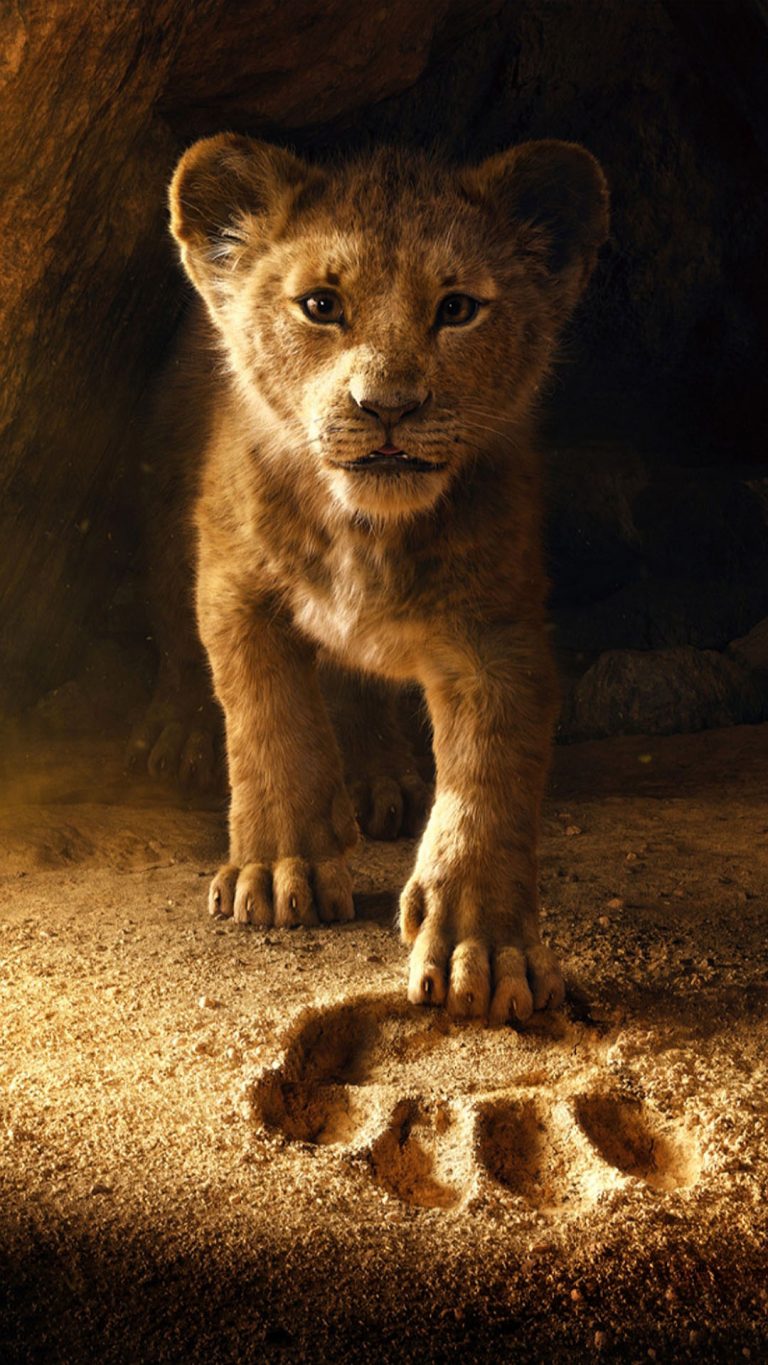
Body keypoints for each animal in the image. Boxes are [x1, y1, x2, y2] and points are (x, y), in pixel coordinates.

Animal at [133, 134, 608, 1023]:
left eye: (457, 309)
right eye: (321, 305)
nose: (387, 406)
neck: (366, 529)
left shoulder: (498, 632)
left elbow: (489, 780)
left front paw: (482, 947)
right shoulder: (235, 583)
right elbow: (268, 720)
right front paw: (278, 869)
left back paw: (377, 776)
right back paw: (181, 735)